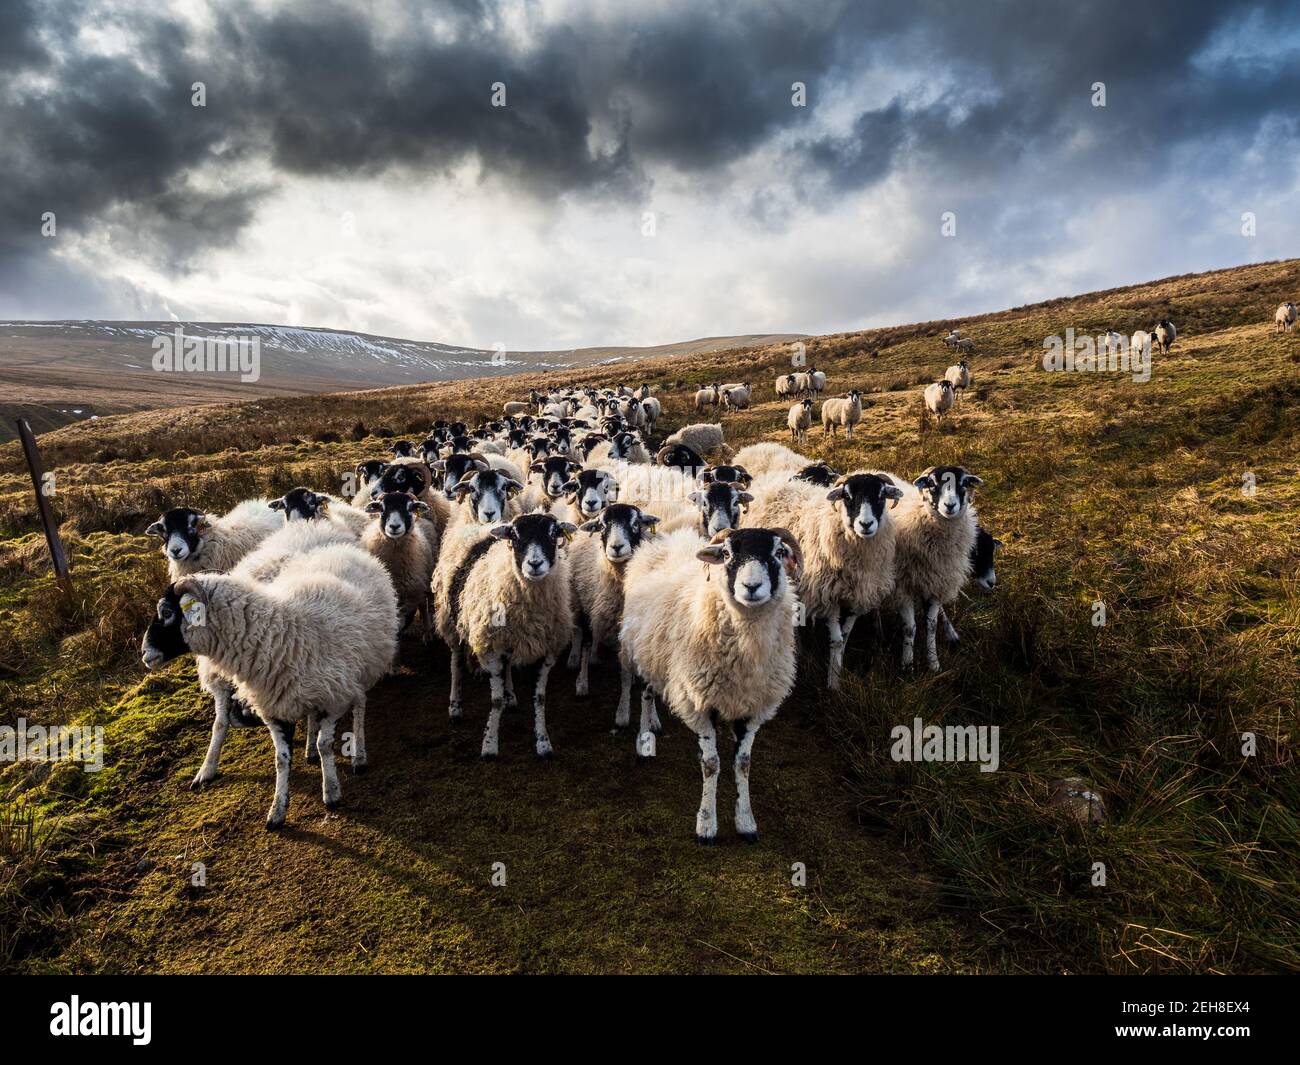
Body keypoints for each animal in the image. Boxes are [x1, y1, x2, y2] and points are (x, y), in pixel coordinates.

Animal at [142, 536, 398, 828]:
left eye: (166, 612)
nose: (144, 653)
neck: (277, 633)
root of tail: (347, 551)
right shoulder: (275, 708)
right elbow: (281, 760)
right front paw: (277, 811)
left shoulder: (334, 697)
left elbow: (325, 745)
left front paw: (331, 792)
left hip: (364, 667)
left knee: (360, 704)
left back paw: (359, 755)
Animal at [447, 512, 577, 759]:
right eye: (515, 536)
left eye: (553, 533)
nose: (535, 564)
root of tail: (486, 525)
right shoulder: (489, 648)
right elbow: (495, 701)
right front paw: (489, 746)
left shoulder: (546, 651)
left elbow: (540, 699)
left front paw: (543, 743)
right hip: (451, 622)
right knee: (456, 664)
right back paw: (455, 706)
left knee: (506, 666)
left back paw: (510, 695)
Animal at [619, 526, 801, 842]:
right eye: (726, 554)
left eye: (779, 552)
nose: (751, 586)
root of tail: (667, 538)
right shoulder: (699, 703)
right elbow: (711, 764)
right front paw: (706, 825)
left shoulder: (753, 708)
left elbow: (743, 764)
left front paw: (746, 822)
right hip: (641, 650)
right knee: (645, 693)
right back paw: (644, 740)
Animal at [747, 470, 902, 687]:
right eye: (847, 497)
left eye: (881, 496)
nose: (866, 524)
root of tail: (771, 482)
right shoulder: (827, 596)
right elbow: (836, 640)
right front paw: (833, 684)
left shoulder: (857, 595)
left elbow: (844, 638)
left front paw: (837, 673)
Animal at [886, 465, 982, 673]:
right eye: (931, 484)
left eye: (964, 483)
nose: (950, 506)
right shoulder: (903, 586)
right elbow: (910, 628)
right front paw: (907, 664)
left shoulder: (937, 583)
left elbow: (931, 625)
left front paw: (933, 663)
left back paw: (951, 634)